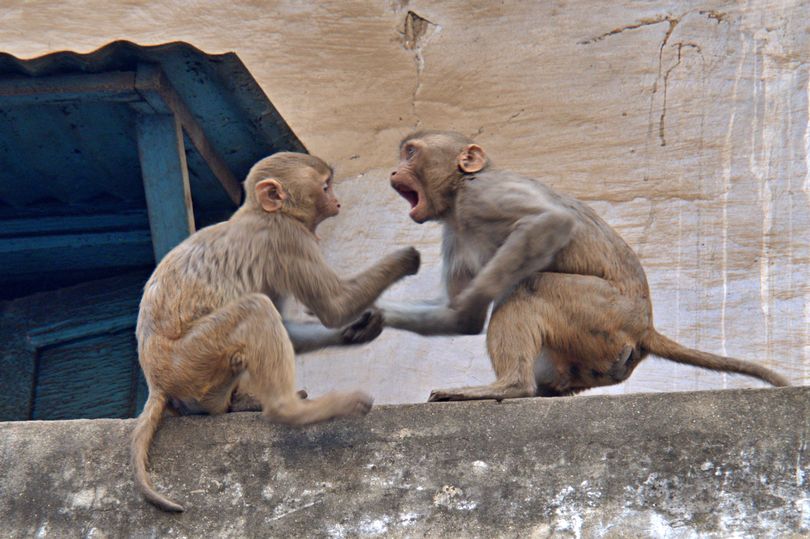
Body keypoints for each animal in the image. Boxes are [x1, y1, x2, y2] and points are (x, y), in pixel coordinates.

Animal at [132, 152, 420, 512]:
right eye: (325, 186)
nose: (337, 201)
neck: (261, 212)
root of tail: (156, 382)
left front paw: (357, 330)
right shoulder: (289, 237)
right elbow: (334, 306)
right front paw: (407, 258)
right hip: (191, 363)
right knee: (256, 309)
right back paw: (290, 409)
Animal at [379, 130, 788, 402]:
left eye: (410, 153)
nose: (393, 172)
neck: (459, 192)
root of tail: (646, 327)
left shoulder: (484, 194)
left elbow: (551, 221)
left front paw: (477, 298)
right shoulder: (454, 232)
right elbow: (454, 317)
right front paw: (371, 317)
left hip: (606, 316)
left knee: (530, 287)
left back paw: (512, 386)